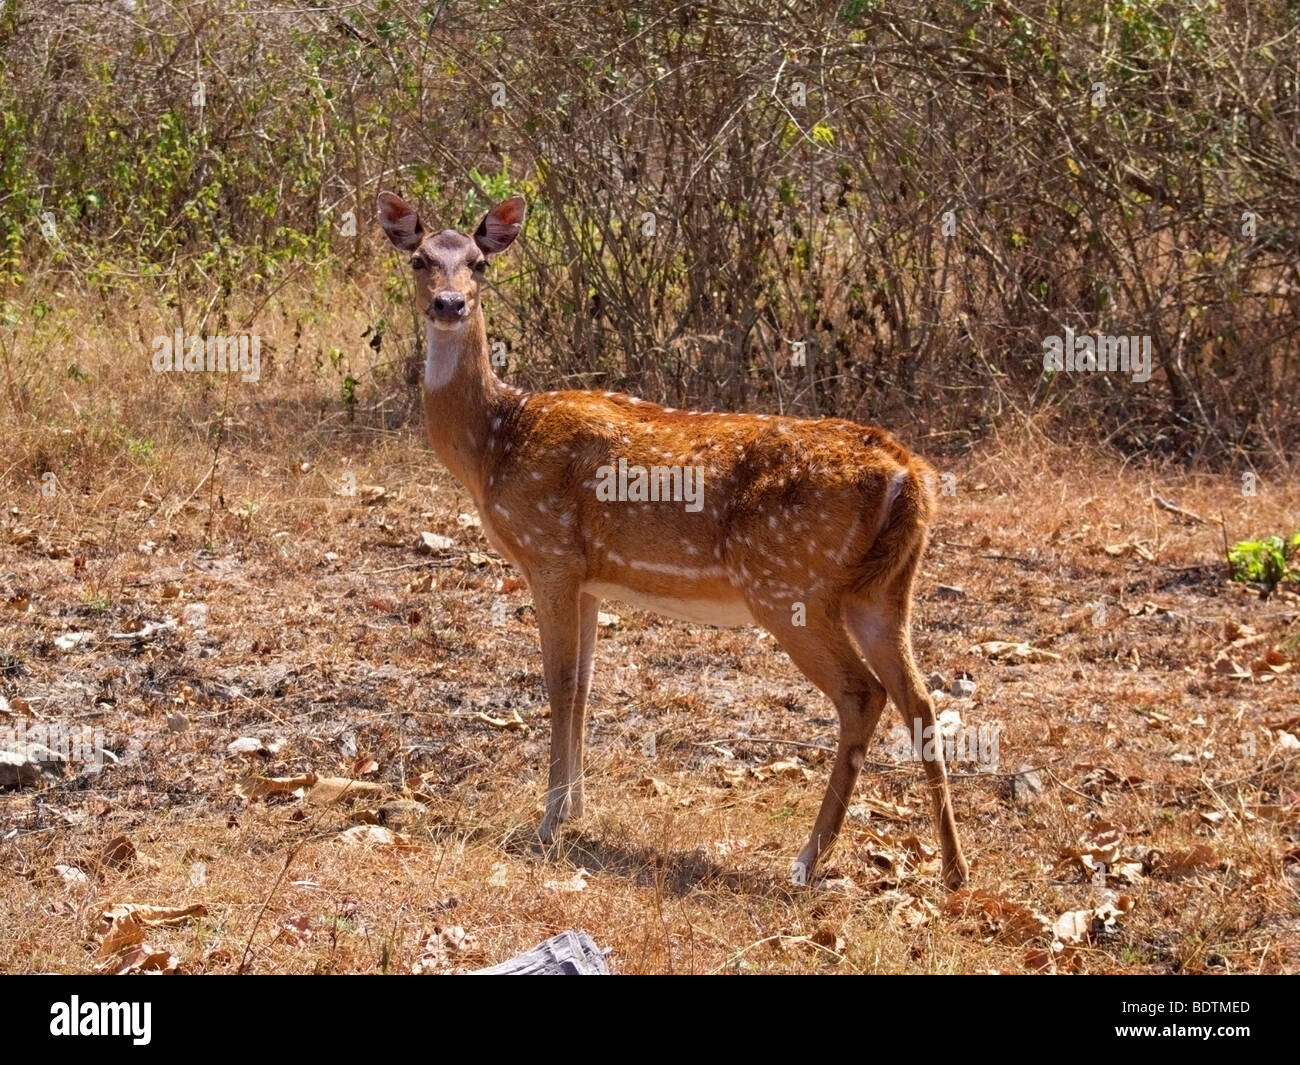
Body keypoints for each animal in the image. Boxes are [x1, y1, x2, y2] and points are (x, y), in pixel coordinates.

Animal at [377, 189, 970, 890]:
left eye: (479, 263)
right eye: (419, 259)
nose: (449, 304)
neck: (494, 441)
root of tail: (911, 477)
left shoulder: (548, 553)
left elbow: (557, 681)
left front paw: (548, 822)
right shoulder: (588, 578)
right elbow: (584, 684)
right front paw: (576, 808)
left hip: (789, 584)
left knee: (862, 694)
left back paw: (806, 859)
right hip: (883, 592)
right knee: (921, 698)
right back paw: (954, 870)